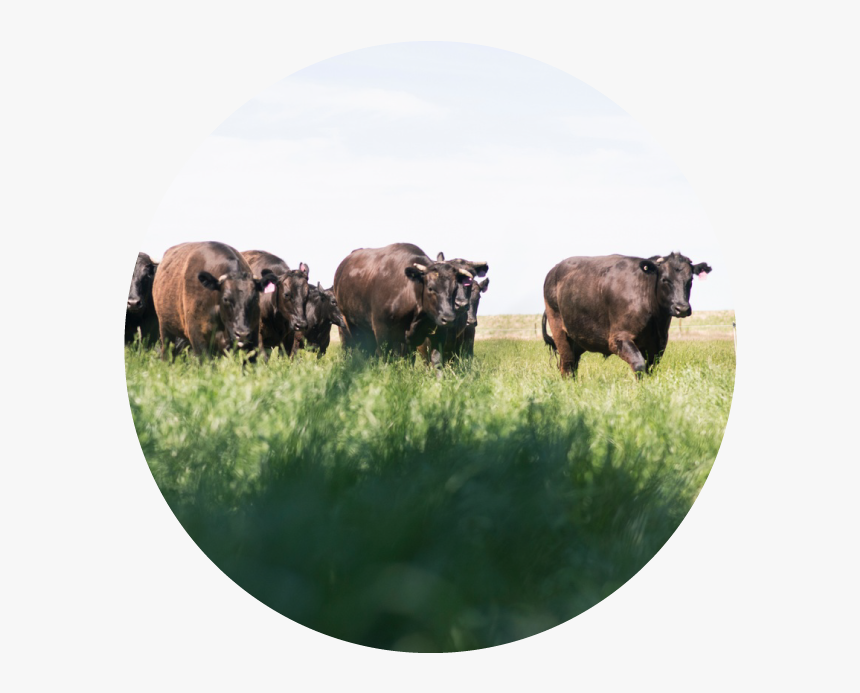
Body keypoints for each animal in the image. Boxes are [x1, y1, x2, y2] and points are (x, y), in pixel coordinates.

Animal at [333, 243, 466, 360]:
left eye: (455, 288)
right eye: (430, 288)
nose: (448, 319)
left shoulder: (437, 334)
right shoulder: (381, 329)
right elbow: (384, 357)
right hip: (351, 323)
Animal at [542, 252, 712, 377]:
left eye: (690, 280)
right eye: (665, 279)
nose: (681, 308)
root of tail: (553, 271)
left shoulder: (658, 344)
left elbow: (649, 369)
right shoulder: (619, 338)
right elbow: (639, 365)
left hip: (580, 338)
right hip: (560, 331)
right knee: (567, 366)